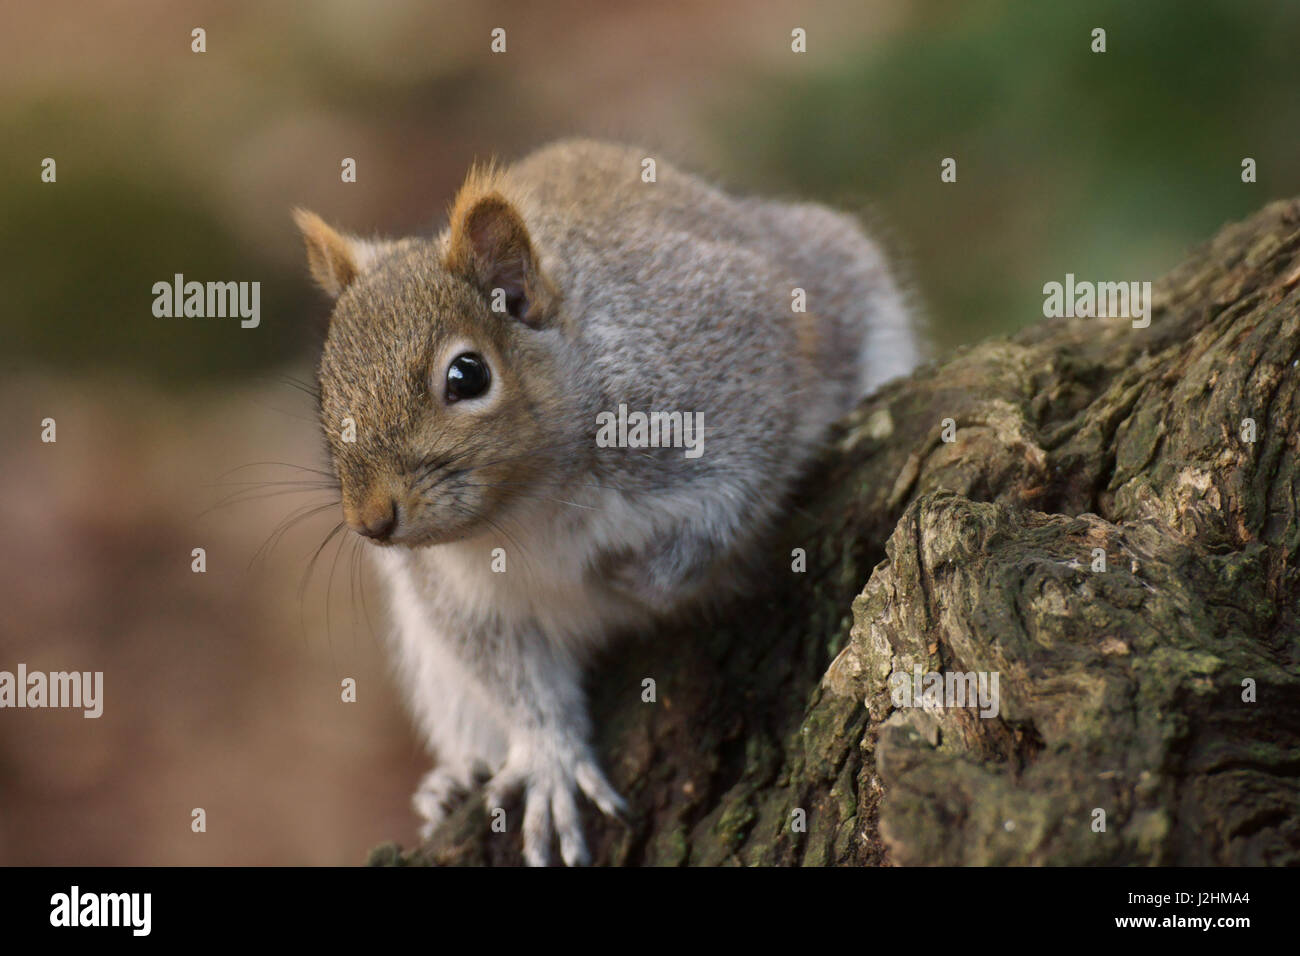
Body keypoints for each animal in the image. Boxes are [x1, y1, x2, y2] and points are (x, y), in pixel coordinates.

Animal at [293, 139, 920, 865]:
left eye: (467, 375)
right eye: (325, 387)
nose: (370, 522)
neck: (529, 507)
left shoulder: (725, 367)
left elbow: (738, 492)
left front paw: (641, 578)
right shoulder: (464, 595)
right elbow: (514, 676)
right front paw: (550, 762)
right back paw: (456, 780)